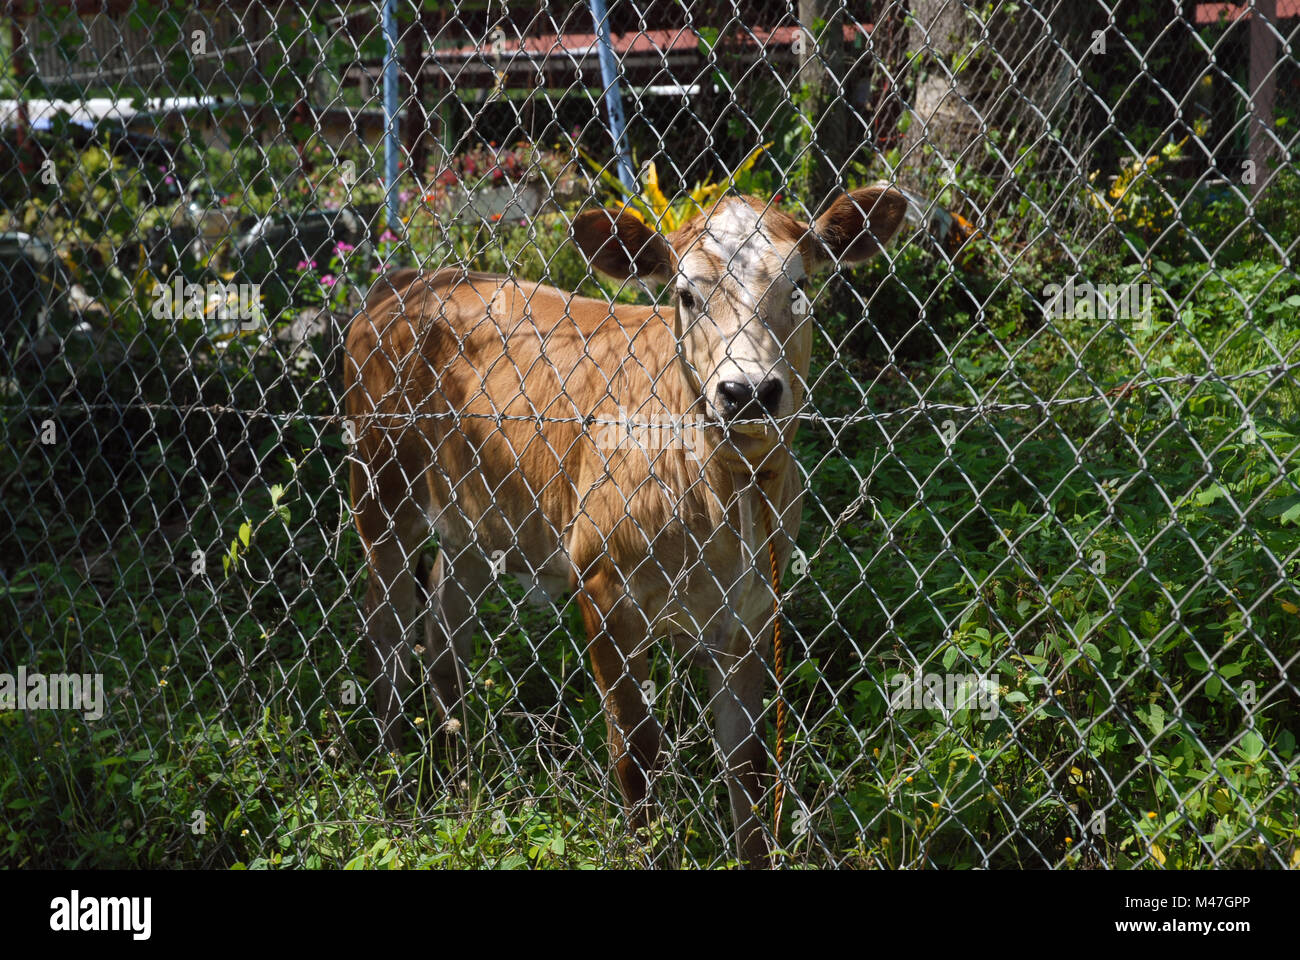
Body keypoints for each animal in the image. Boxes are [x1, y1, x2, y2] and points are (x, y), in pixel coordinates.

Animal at [342, 184, 907, 865]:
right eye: (686, 293)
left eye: (798, 286)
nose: (747, 392)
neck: (723, 494)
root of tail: (408, 280)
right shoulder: (604, 589)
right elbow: (636, 753)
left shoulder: (753, 611)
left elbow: (748, 766)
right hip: (381, 488)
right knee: (386, 624)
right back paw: (394, 780)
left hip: (478, 515)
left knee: (445, 621)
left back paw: (462, 777)